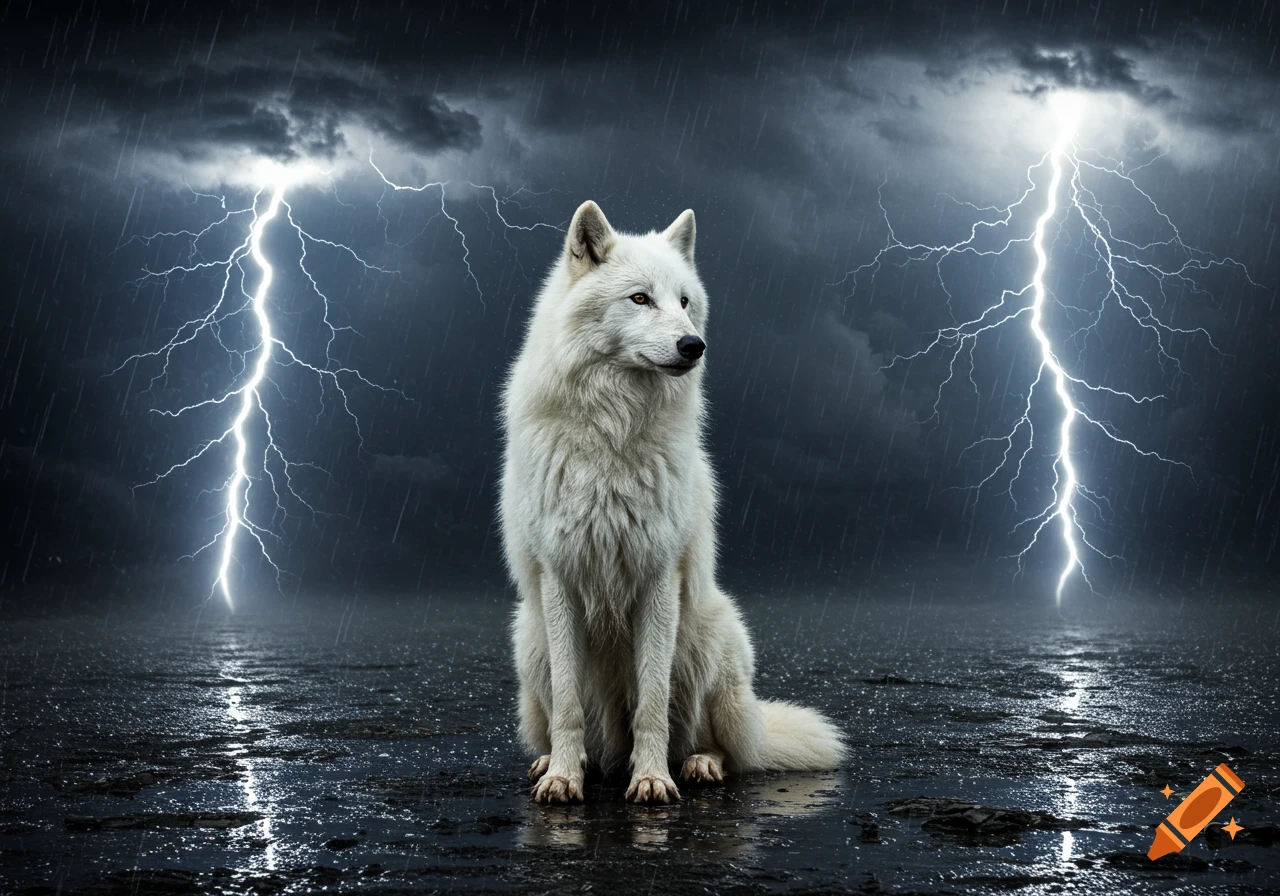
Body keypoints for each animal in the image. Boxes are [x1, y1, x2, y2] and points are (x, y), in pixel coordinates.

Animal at [499, 200, 845, 804]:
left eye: (684, 302)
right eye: (640, 298)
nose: (694, 346)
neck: (613, 433)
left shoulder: (659, 579)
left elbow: (653, 704)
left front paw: (653, 779)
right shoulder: (559, 580)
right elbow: (568, 706)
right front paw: (564, 776)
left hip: (709, 638)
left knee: (720, 745)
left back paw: (697, 764)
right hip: (531, 639)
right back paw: (557, 763)